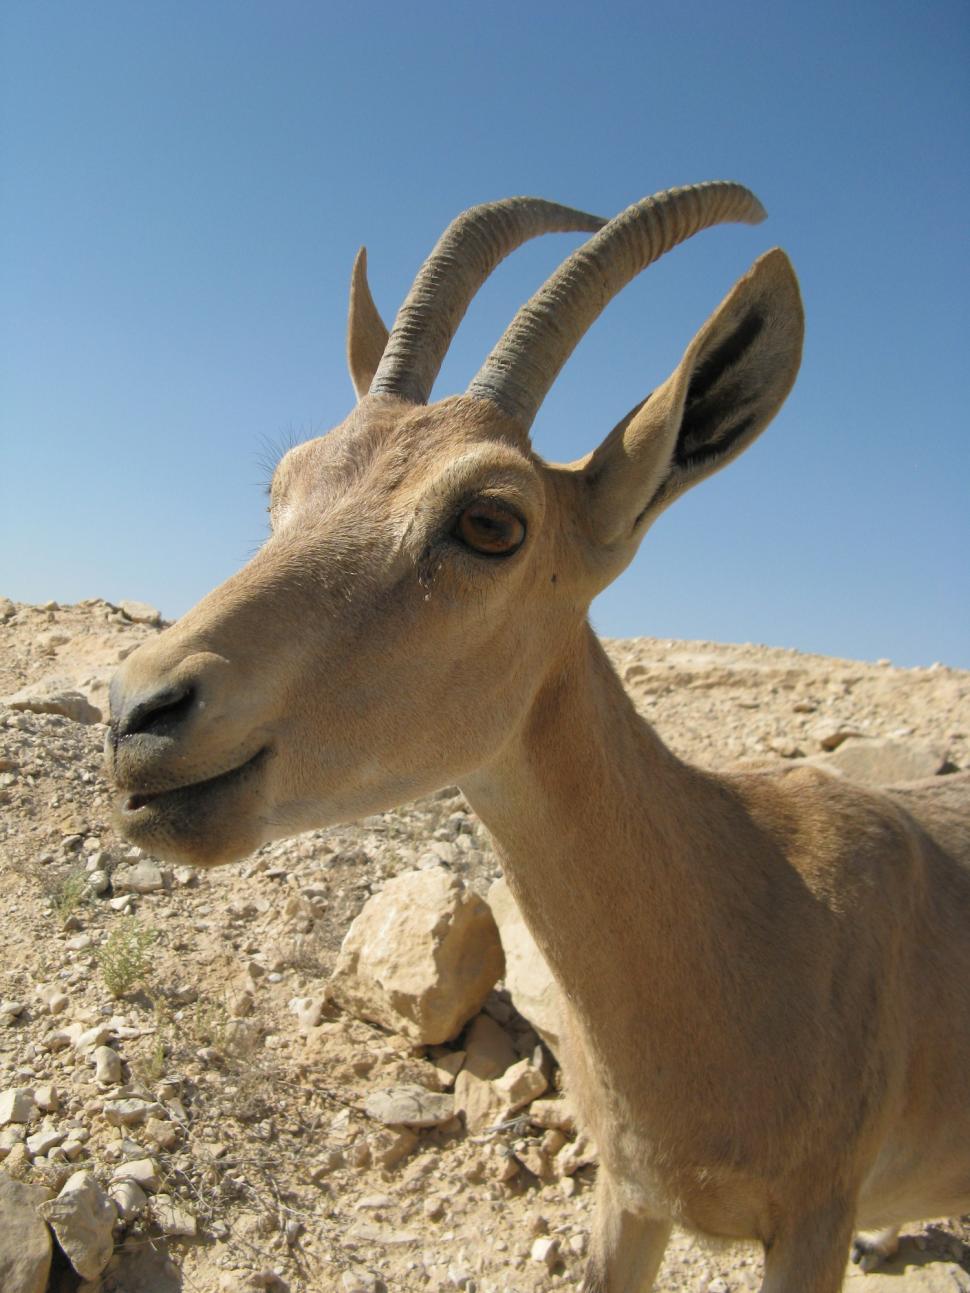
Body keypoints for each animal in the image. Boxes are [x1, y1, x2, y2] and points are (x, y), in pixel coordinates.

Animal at [104, 182, 970, 1291]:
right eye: (283, 485)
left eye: (490, 522)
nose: (140, 713)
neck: (752, 920)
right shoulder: (629, 1196)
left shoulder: (812, 1218)